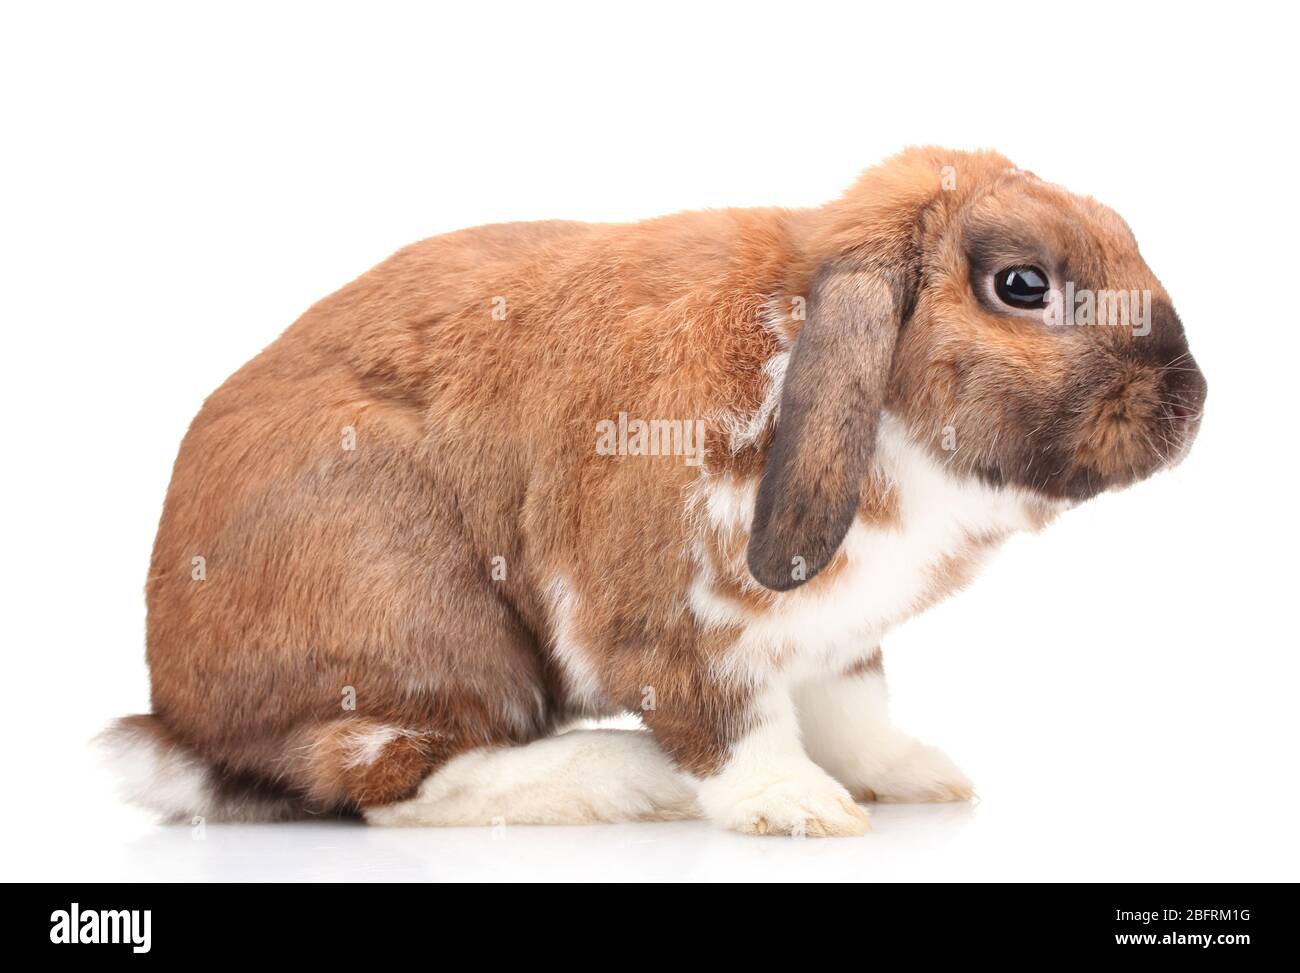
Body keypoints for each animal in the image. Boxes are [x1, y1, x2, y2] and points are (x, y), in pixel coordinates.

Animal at [103, 147, 1206, 836]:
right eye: (1021, 285)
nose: (1189, 399)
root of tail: (182, 723)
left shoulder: (837, 639)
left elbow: (857, 707)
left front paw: (913, 775)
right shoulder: (673, 630)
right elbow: (730, 725)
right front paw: (800, 808)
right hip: (423, 620)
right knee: (395, 779)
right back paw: (627, 781)